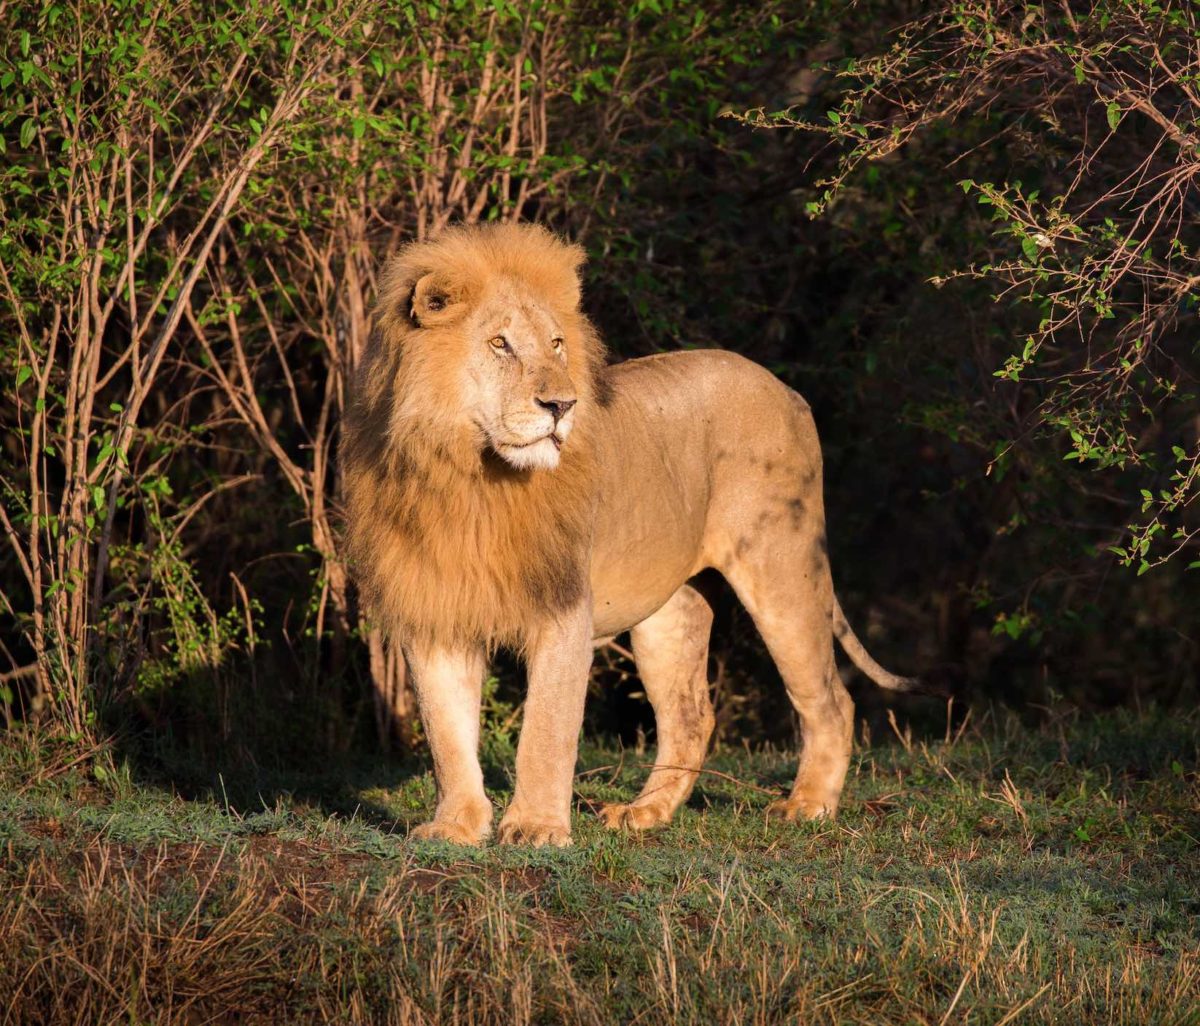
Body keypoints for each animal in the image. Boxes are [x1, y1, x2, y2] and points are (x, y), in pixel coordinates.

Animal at [342, 222, 914, 847]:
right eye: (500, 344)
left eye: (557, 344)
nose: (562, 404)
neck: (469, 478)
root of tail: (787, 390)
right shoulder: (434, 608)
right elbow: (446, 732)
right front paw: (456, 827)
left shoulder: (565, 606)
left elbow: (546, 728)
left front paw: (537, 828)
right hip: (669, 610)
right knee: (691, 714)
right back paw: (645, 813)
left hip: (782, 566)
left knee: (830, 699)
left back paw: (807, 806)